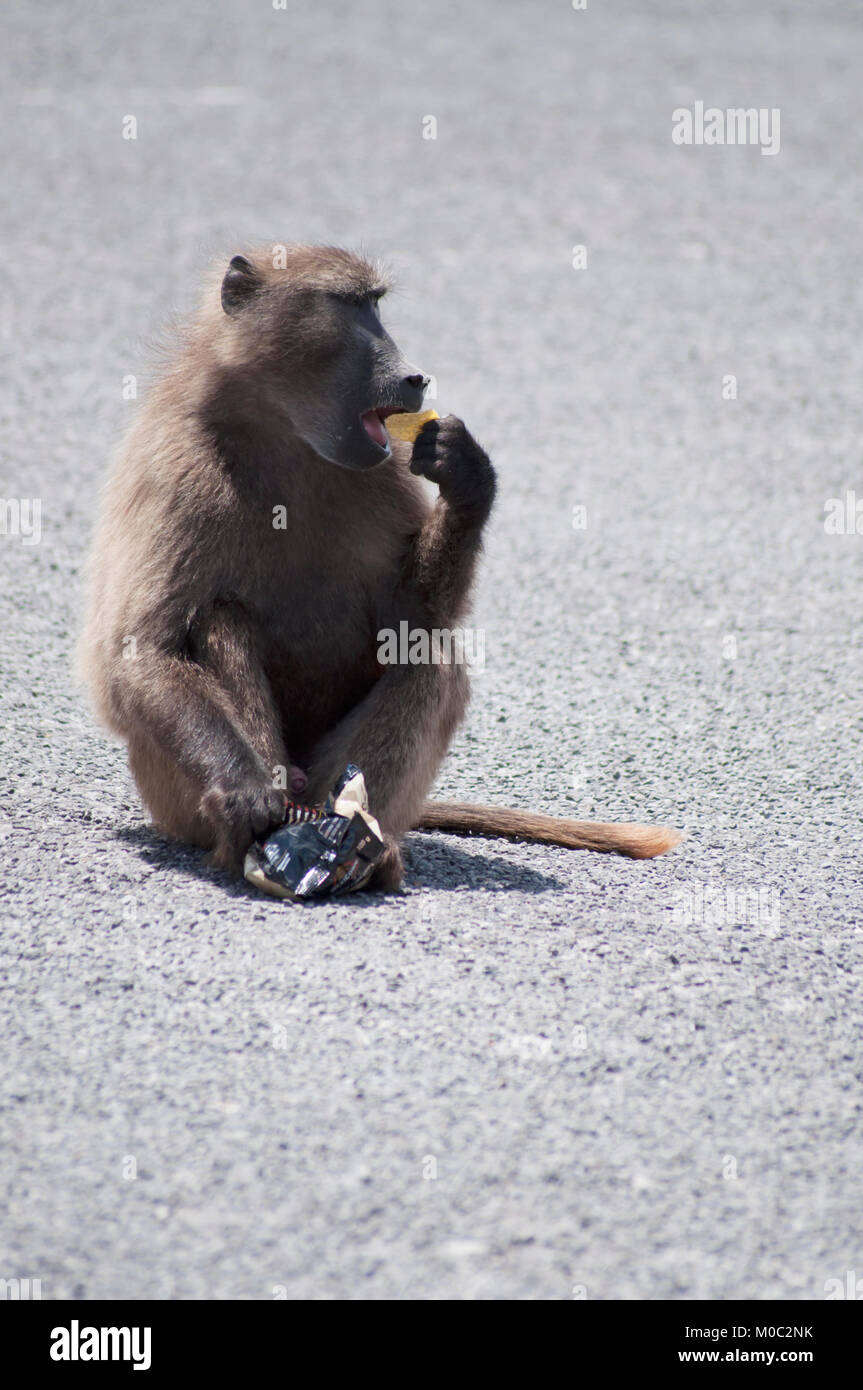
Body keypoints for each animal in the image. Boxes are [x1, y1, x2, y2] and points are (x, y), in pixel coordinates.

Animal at [79, 244, 681, 893]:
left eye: (377, 304)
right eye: (351, 304)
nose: (415, 377)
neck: (286, 438)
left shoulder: (386, 467)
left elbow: (410, 618)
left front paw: (467, 476)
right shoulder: (177, 467)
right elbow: (140, 650)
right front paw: (242, 788)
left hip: (329, 777)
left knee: (430, 653)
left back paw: (367, 847)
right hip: (174, 798)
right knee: (218, 619)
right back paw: (252, 837)